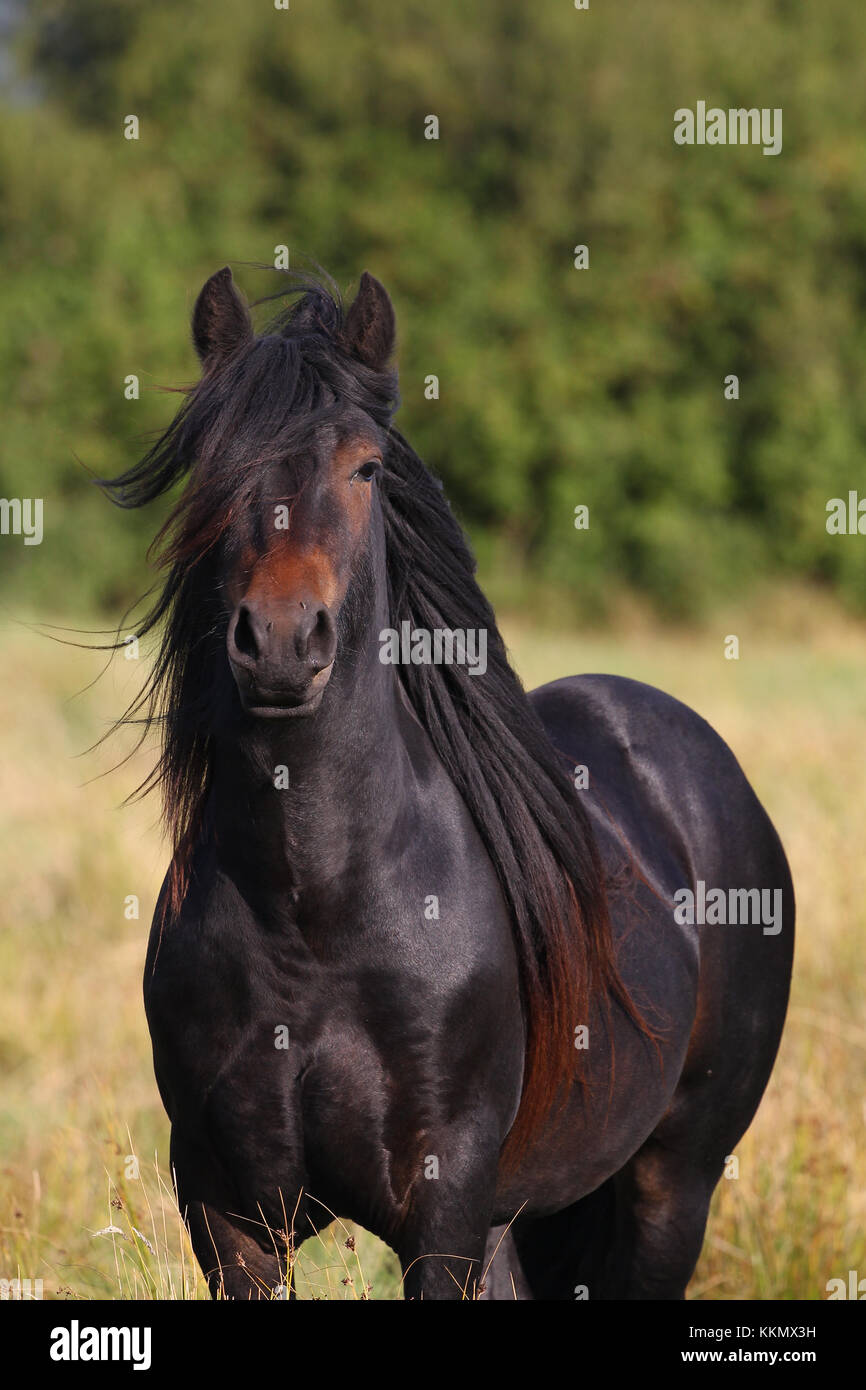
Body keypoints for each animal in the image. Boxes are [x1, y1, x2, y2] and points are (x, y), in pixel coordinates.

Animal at [101, 265, 794, 1299]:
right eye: (209, 464)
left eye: (365, 469)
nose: (279, 641)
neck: (310, 910)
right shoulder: (233, 1218)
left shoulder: (445, 1207)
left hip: (674, 1185)